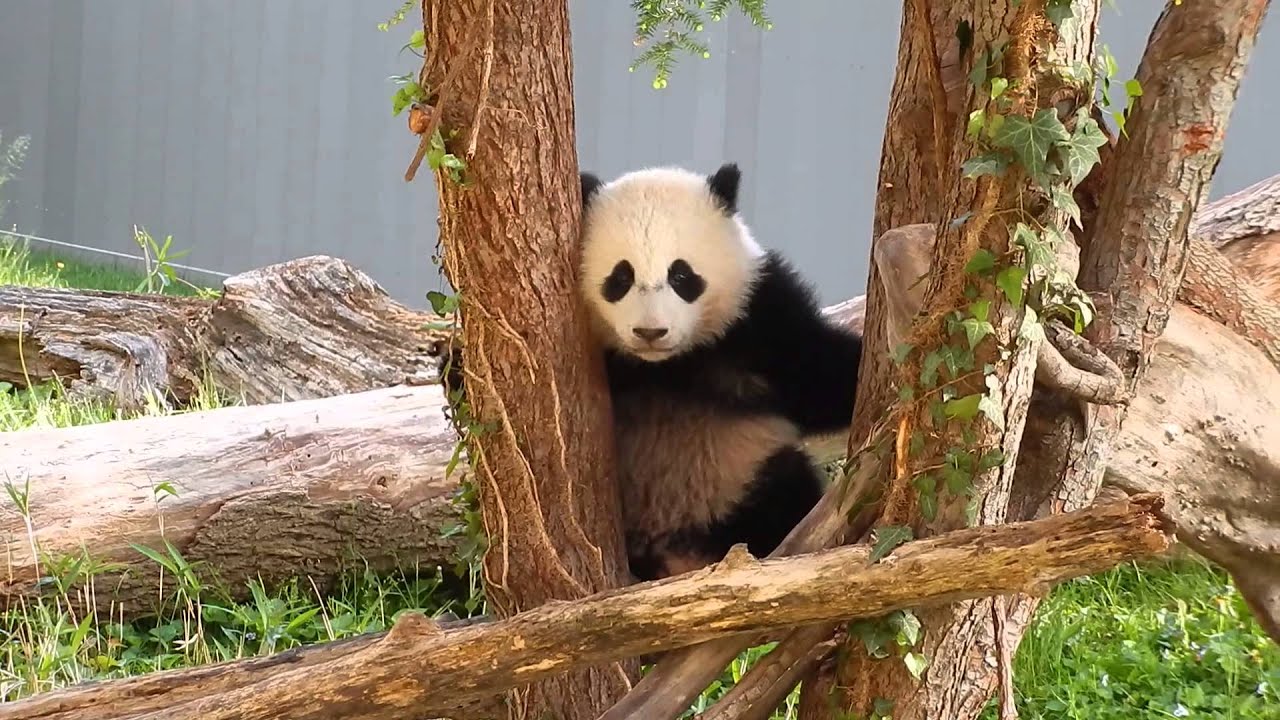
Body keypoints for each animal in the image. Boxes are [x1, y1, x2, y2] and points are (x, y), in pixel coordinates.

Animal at [438, 161, 863, 583]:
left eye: (681, 275)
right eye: (621, 277)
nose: (650, 332)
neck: (665, 366)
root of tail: (678, 554)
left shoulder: (759, 317)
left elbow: (821, 376)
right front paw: (455, 366)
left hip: (742, 478)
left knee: (786, 493)